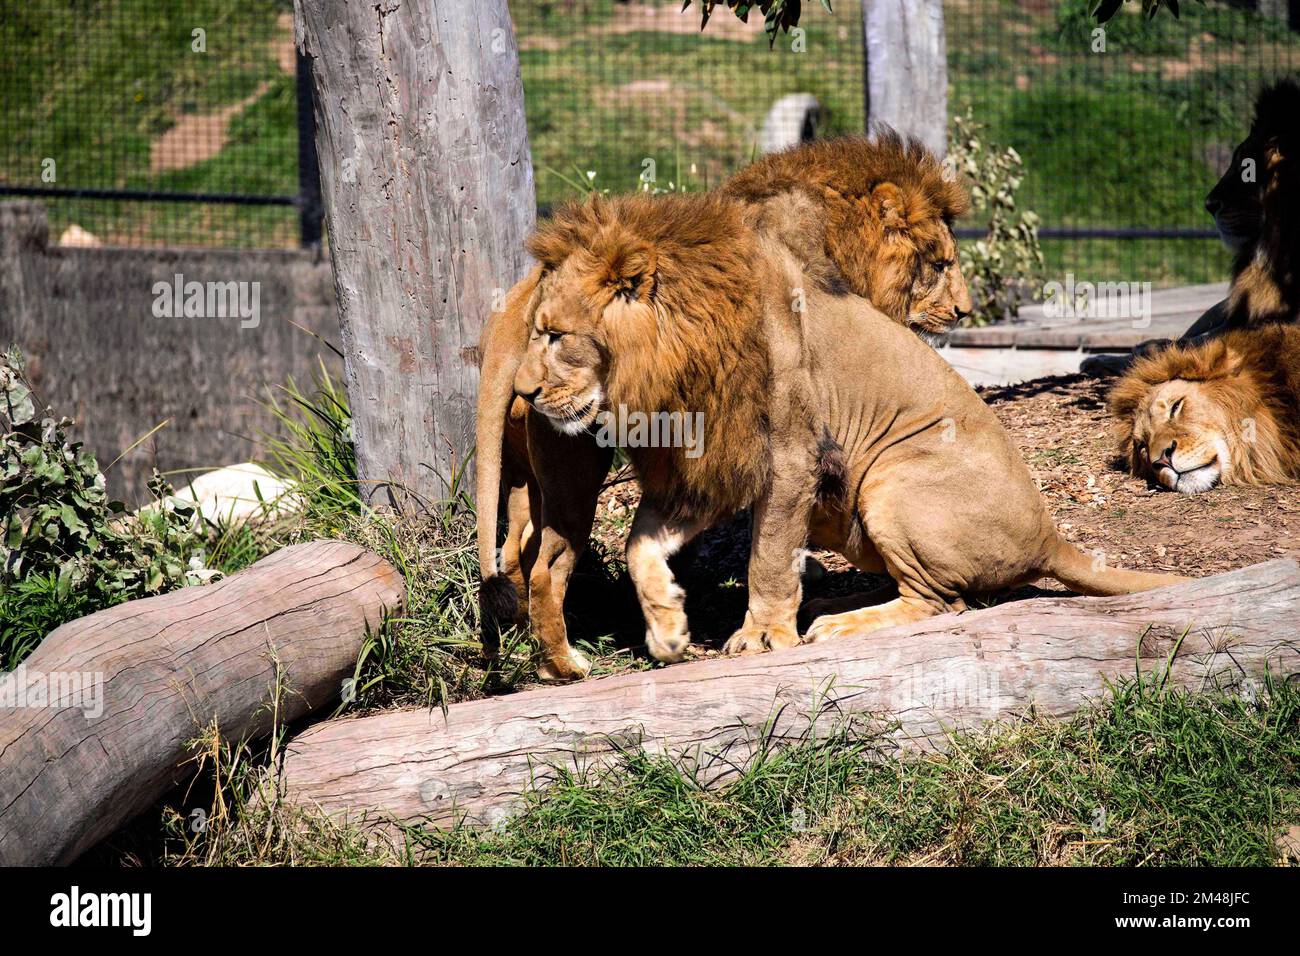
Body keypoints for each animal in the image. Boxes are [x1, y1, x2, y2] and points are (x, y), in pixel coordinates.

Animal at [477, 133, 972, 680]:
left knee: (518, 552)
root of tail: (516, 307)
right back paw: (565, 664)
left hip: (537, 472)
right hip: (579, 469)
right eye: (941, 264)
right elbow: (769, 539)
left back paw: (531, 645)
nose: (965, 311)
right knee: (546, 565)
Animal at [510, 191, 1184, 670]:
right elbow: (639, 545)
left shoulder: (788, 458)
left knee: (943, 603)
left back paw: (835, 624)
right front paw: (669, 628)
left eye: (555, 335)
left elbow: (768, 558)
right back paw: (833, 602)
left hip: (890, 481)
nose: (522, 392)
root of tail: (1049, 537)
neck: (672, 367)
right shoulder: (709, 468)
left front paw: (762, 635)